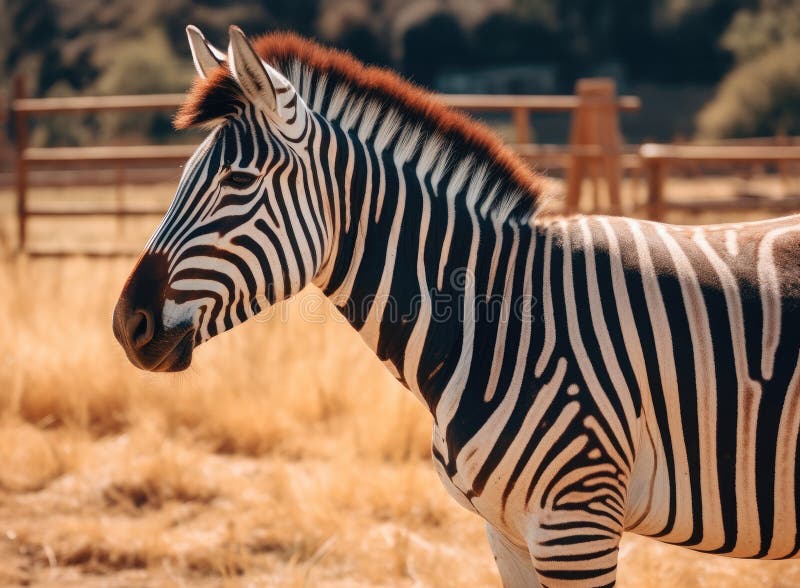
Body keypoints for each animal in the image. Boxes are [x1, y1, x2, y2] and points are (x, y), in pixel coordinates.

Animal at [113, 25, 800, 587]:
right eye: (180, 178)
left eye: (239, 182)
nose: (125, 325)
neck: (498, 319)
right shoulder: (509, 533)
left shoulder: (576, 523)